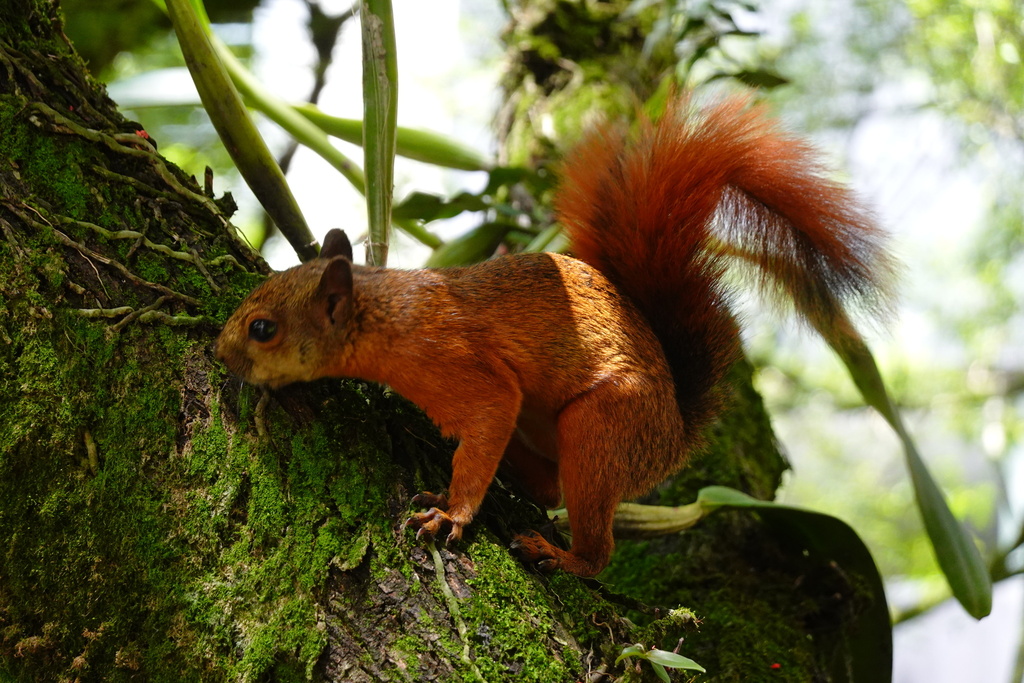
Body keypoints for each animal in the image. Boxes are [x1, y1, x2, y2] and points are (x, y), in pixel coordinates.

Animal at [214, 92, 897, 578]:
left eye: (263, 329)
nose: (221, 356)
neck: (386, 316)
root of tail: (674, 434)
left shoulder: (464, 368)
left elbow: (488, 416)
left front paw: (451, 513)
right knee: (545, 482)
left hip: (602, 429)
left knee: (593, 535)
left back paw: (562, 555)